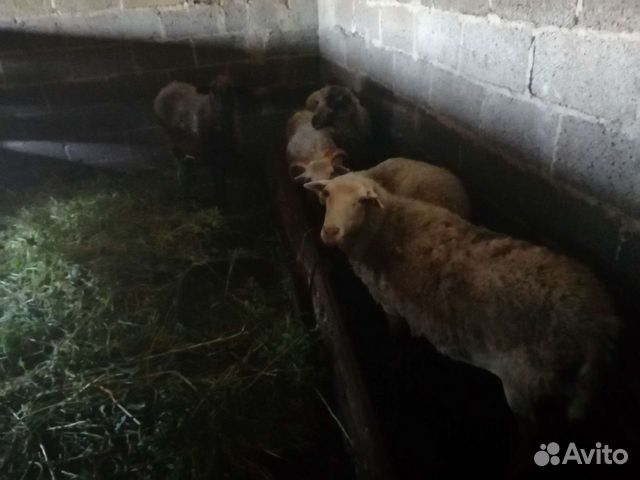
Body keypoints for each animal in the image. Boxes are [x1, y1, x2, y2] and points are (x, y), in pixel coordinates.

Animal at [304, 173, 621, 423]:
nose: (330, 232)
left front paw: (396, 360)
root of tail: (597, 323)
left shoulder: (390, 305)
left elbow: (395, 335)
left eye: (361, 201)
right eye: (327, 195)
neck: (383, 230)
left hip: (525, 380)